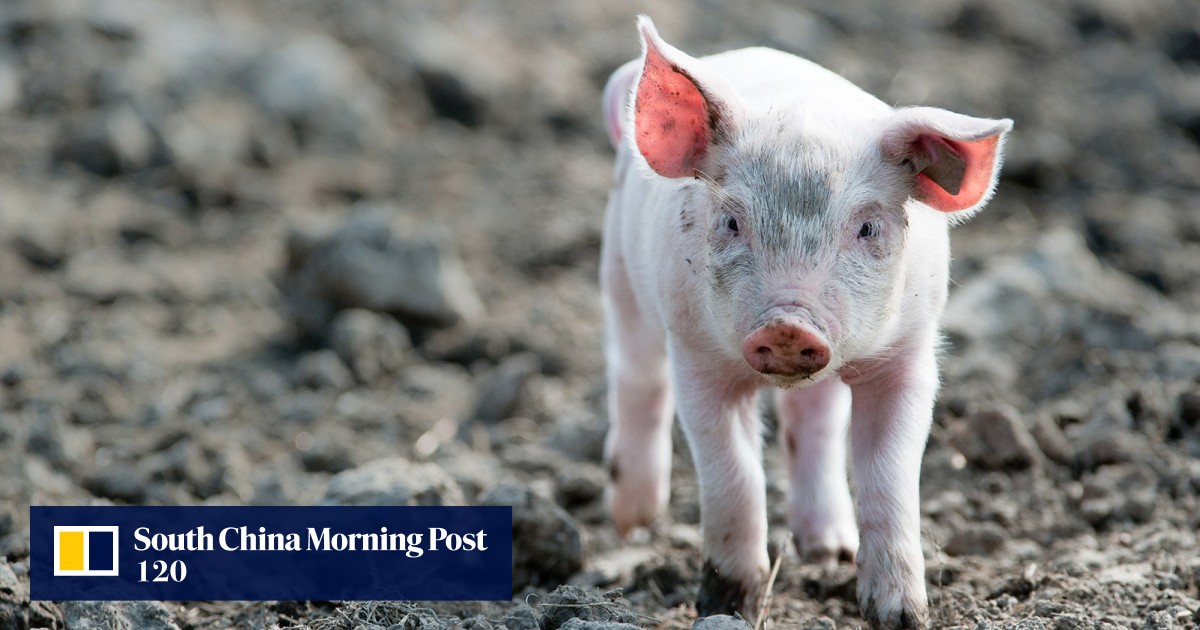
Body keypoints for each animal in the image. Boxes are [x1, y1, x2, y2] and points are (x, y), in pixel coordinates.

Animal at [599, 16, 1011, 630]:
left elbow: (888, 471)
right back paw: (633, 519)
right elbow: (733, 473)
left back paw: (828, 550)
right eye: (731, 221)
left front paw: (901, 617)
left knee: (814, 420)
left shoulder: (909, 354)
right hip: (621, 278)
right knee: (636, 378)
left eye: (867, 228)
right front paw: (727, 609)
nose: (788, 326)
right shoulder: (696, 354)